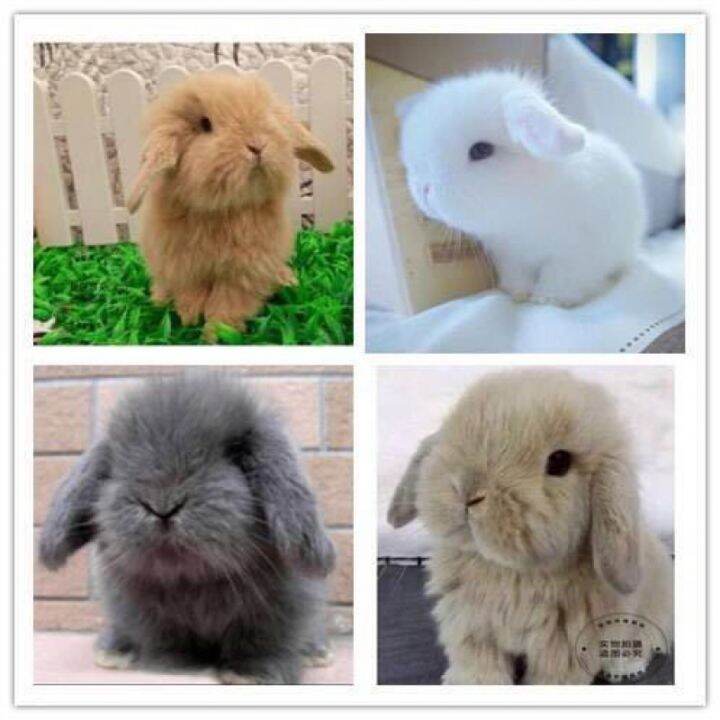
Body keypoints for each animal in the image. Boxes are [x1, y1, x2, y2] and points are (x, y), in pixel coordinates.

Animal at [39, 373, 336, 684]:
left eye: (236, 457)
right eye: (119, 464)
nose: (162, 506)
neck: (192, 580)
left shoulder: (278, 608)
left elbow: (262, 640)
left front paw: (248, 675)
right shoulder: (148, 615)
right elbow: (169, 641)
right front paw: (175, 667)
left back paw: (317, 653)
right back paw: (112, 651)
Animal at [127, 72, 335, 340]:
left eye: (266, 115)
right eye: (205, 124)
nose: (257, 145)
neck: (223, 210)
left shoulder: (243, 273)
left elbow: (227, 304)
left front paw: (215, 335)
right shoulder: (184, 267)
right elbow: (191, 294)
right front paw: (189, 319)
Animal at [387, 370, 673, 685]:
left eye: (559, 461)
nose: (468, 493)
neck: (511, 571)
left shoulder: (564, 645)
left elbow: (551, 677)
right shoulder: (472, 627)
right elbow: (479, 664)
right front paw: (471, 683)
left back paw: (626, 667)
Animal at [397, 70, 647, 307]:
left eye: (481, 150)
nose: (424, 189)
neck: (520, 216)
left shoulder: (573, 256)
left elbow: (560, 278)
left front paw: (546, 299)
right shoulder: (510, 259)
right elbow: (518, 277)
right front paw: (517, 294)